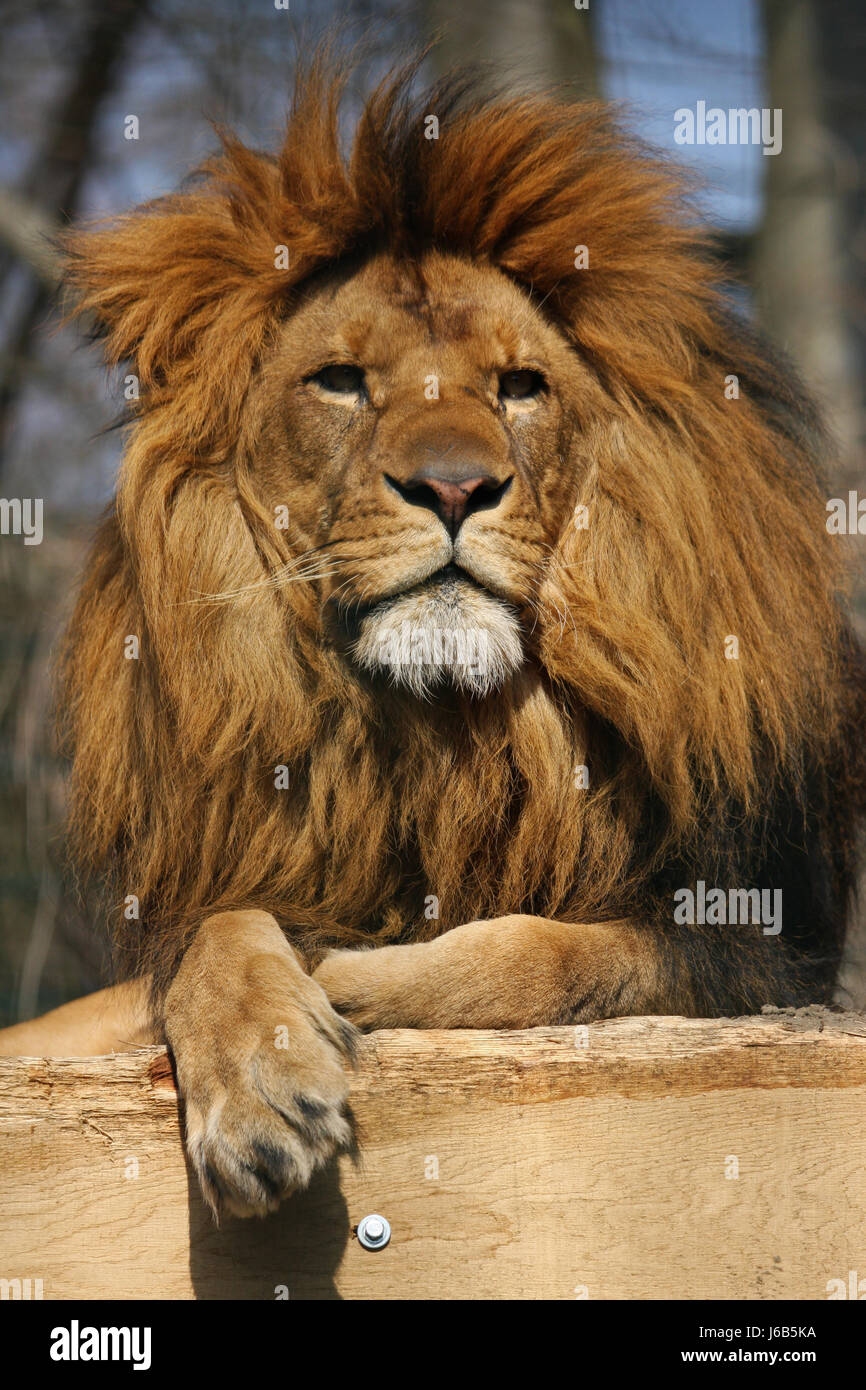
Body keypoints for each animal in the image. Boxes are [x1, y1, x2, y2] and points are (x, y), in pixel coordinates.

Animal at [2, 52, 865, 1220]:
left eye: (518, 385)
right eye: (339, 380)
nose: (455, 486)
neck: (449, 727)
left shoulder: (767, 958)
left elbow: (551, 953)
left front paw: (348, 977)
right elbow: (219, 933)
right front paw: (264, 1075)